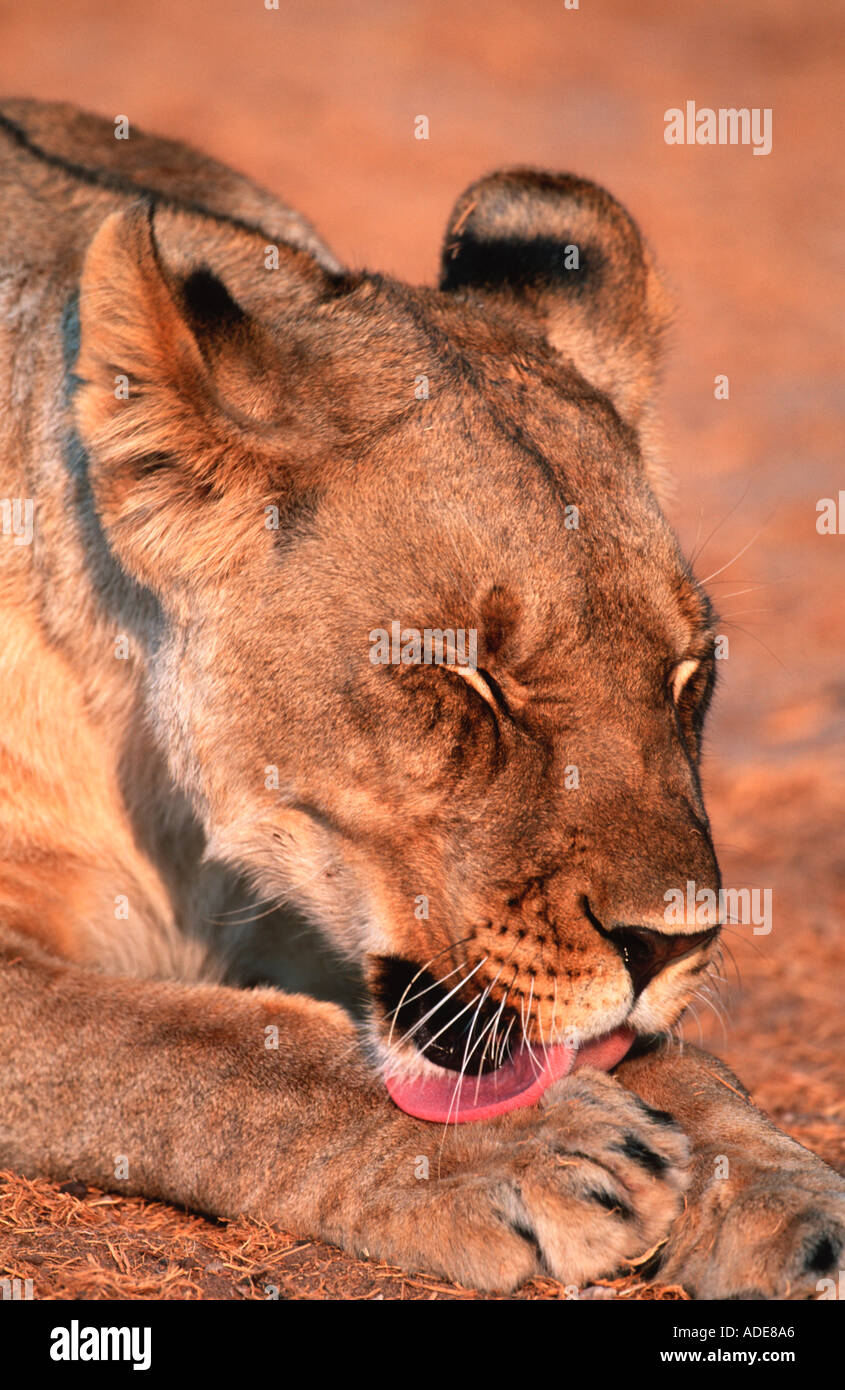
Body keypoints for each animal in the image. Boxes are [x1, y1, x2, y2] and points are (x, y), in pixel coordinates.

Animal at [0, 98, 842, 1298]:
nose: (669, 946)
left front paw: (777, 1185)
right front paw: (542, 1152)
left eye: (691, 673)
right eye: (462, 672)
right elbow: (174, 1036)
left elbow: (676, 1060)